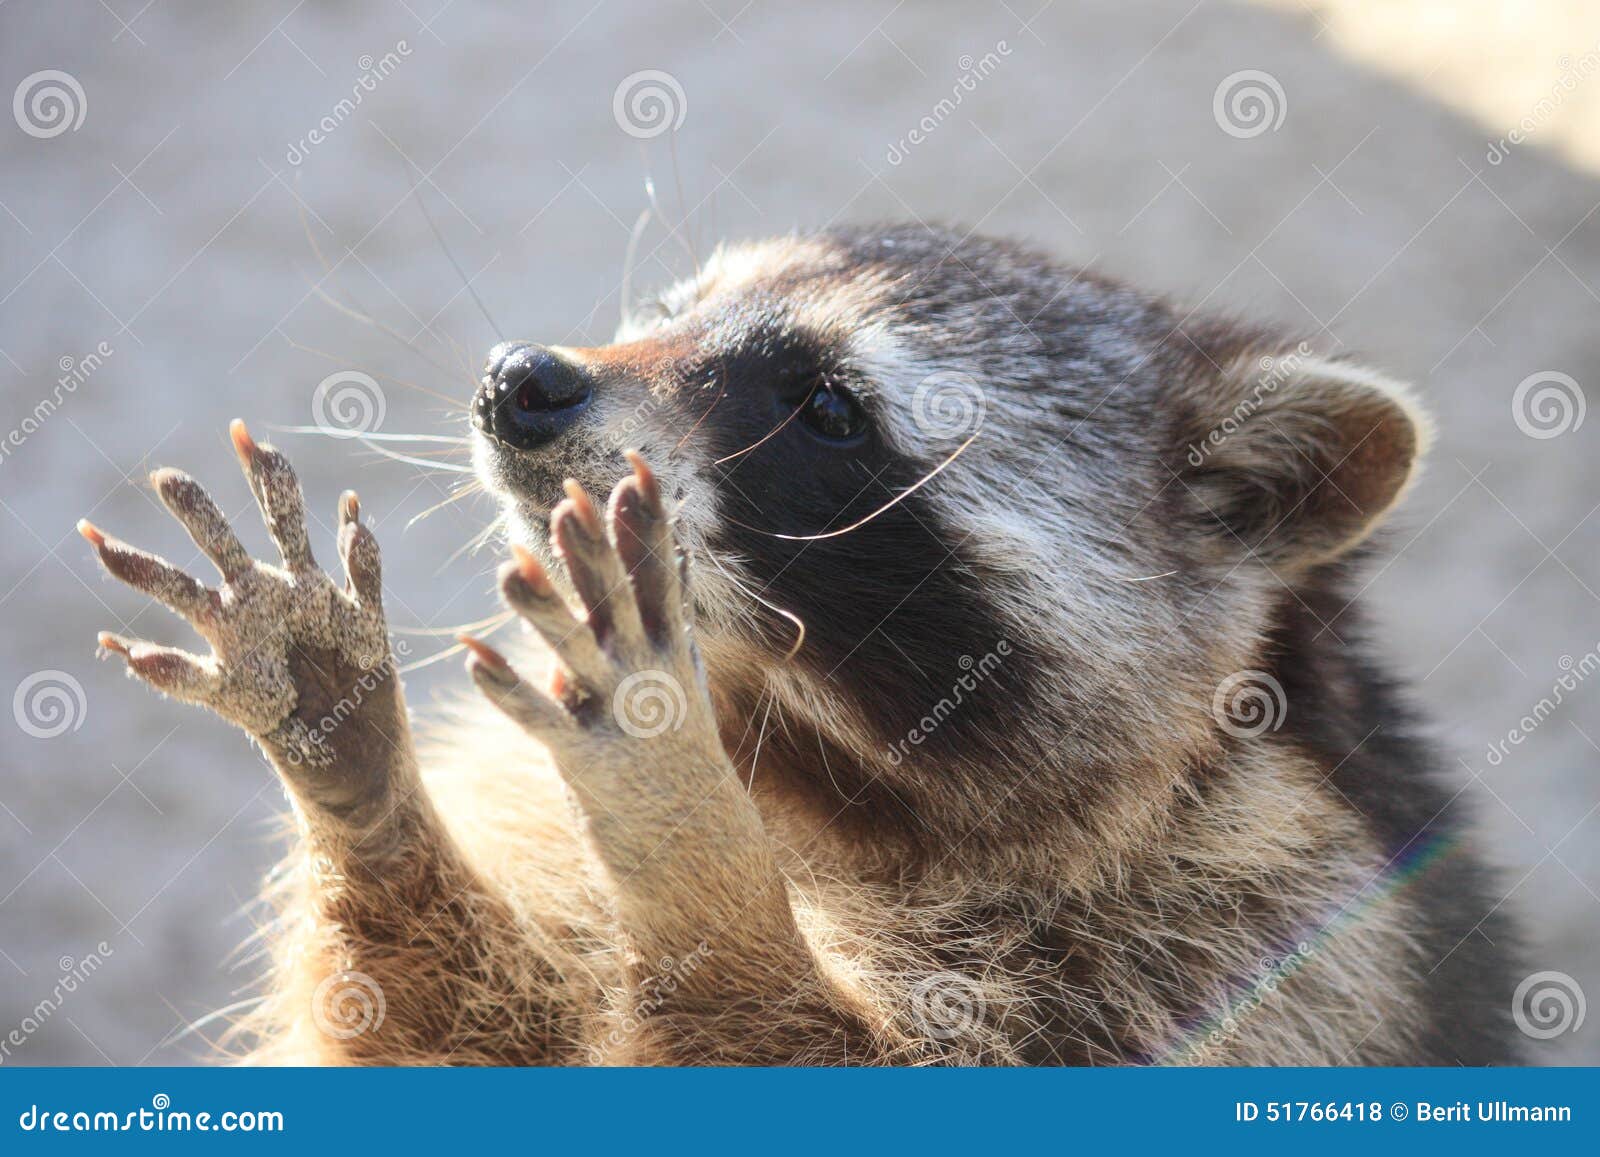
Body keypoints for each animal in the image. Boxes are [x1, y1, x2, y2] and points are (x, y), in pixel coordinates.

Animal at [83, 223, 1518, 1065]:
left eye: (827, 408)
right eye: (663, 310)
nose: (521, 382)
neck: (802, 756)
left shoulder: (1260, 945)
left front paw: (678, 824)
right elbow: (437, 1041)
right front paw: (356, 758)